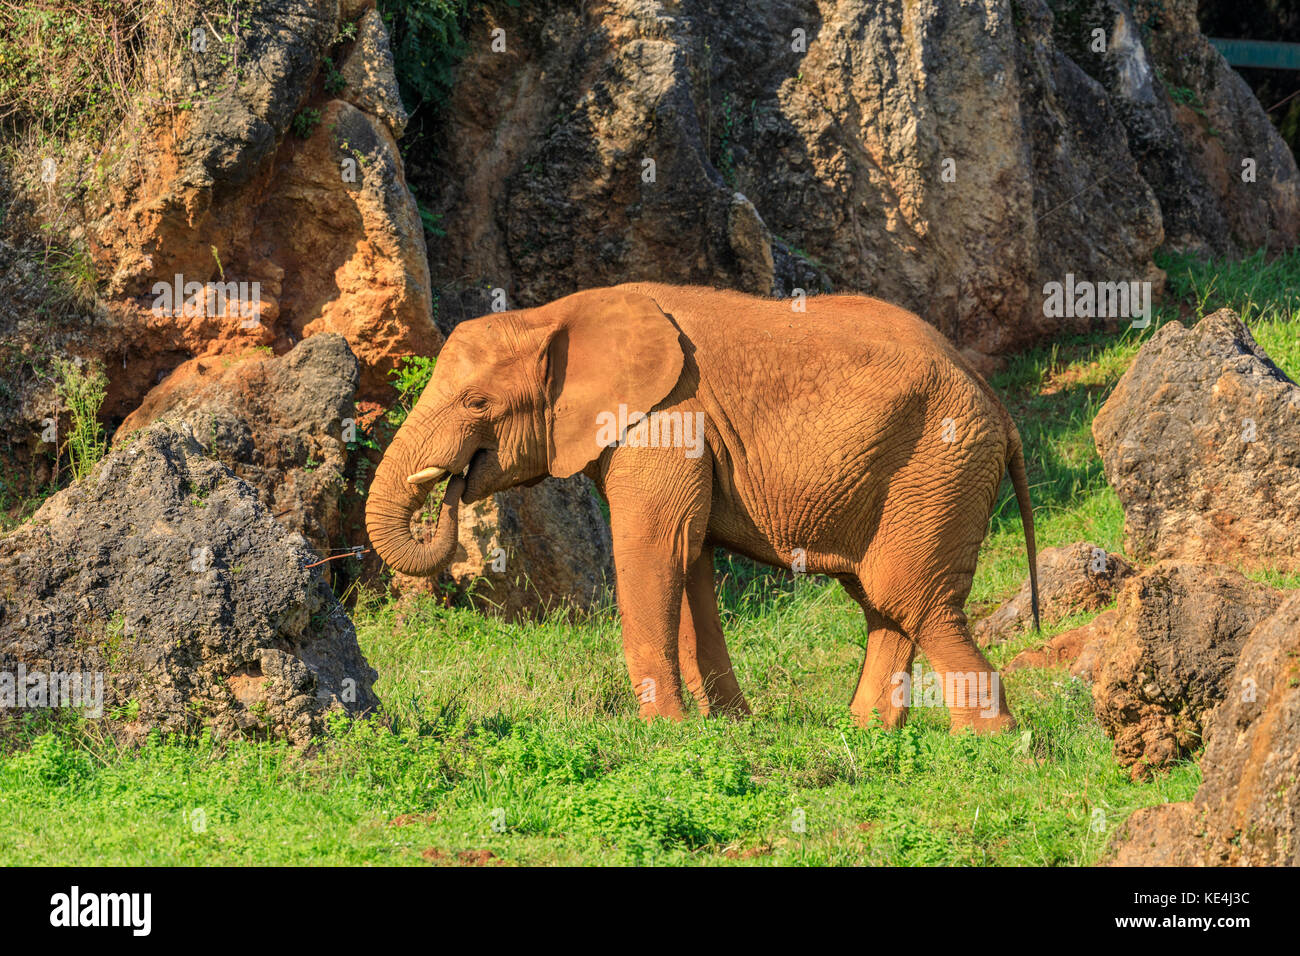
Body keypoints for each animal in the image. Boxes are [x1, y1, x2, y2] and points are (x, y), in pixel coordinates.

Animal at [366, 283, 1039, 732]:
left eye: (476, 402)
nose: (452, 483)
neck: (555, 314)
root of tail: (1001, 409)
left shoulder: (666, 419)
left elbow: (654, 549)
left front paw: (666, 736)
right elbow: (689, 561)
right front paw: (730, 729)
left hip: (939, 466)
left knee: (914, 599)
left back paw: (987, 746)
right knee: (885, 602)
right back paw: (866, 734)